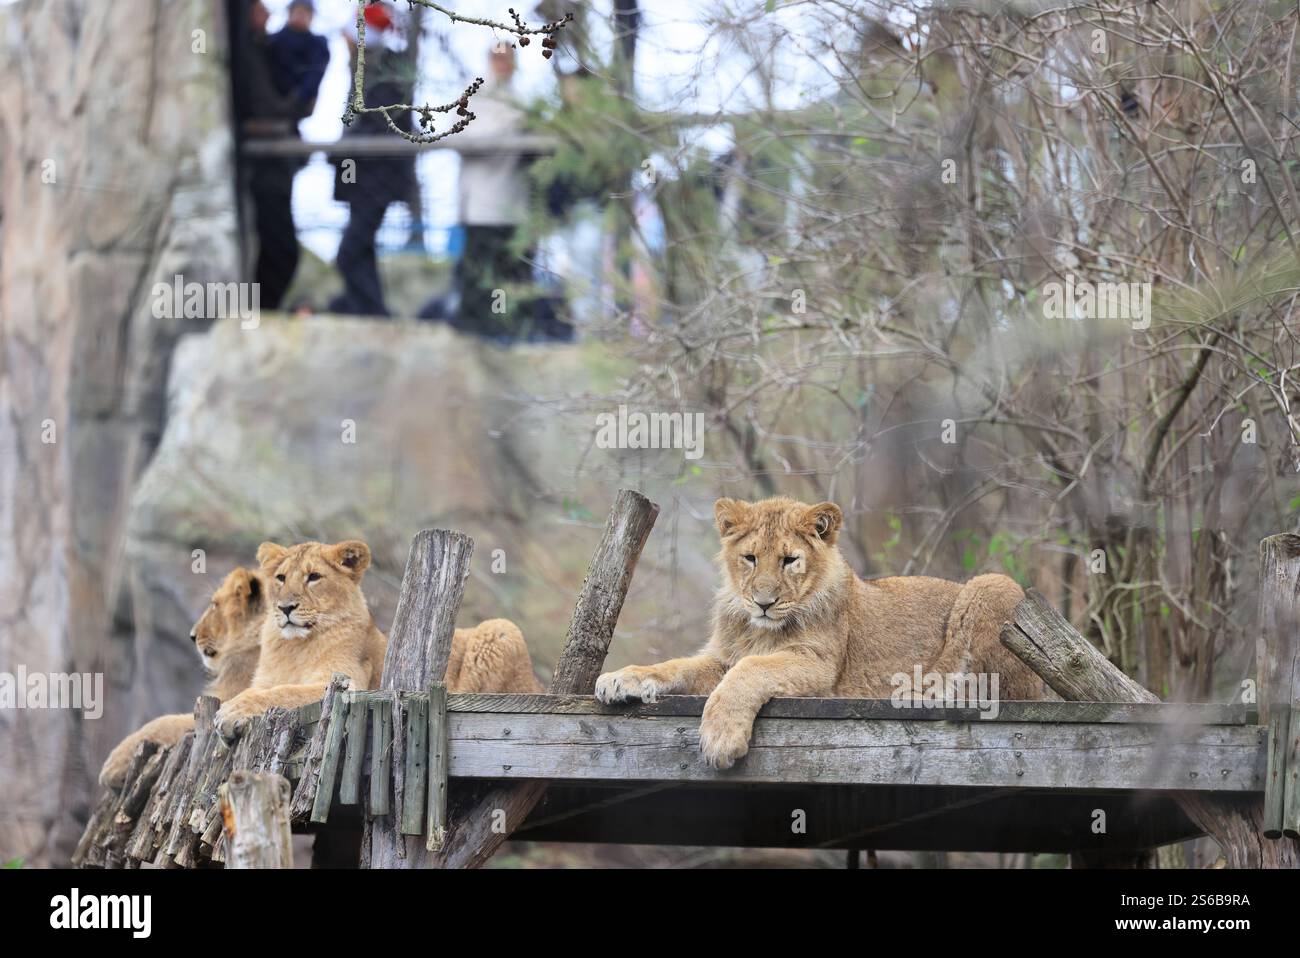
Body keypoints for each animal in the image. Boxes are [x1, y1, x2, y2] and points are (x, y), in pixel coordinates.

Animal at [595, 496, 1046, 769]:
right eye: (750, 558)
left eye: (789, 560)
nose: (763, 602)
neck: (761, 628)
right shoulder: (721, 658)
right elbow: (677, 667)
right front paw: (621, 679)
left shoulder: (819, 667)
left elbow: (749, 671)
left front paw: (720, 739)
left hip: (994, 586)